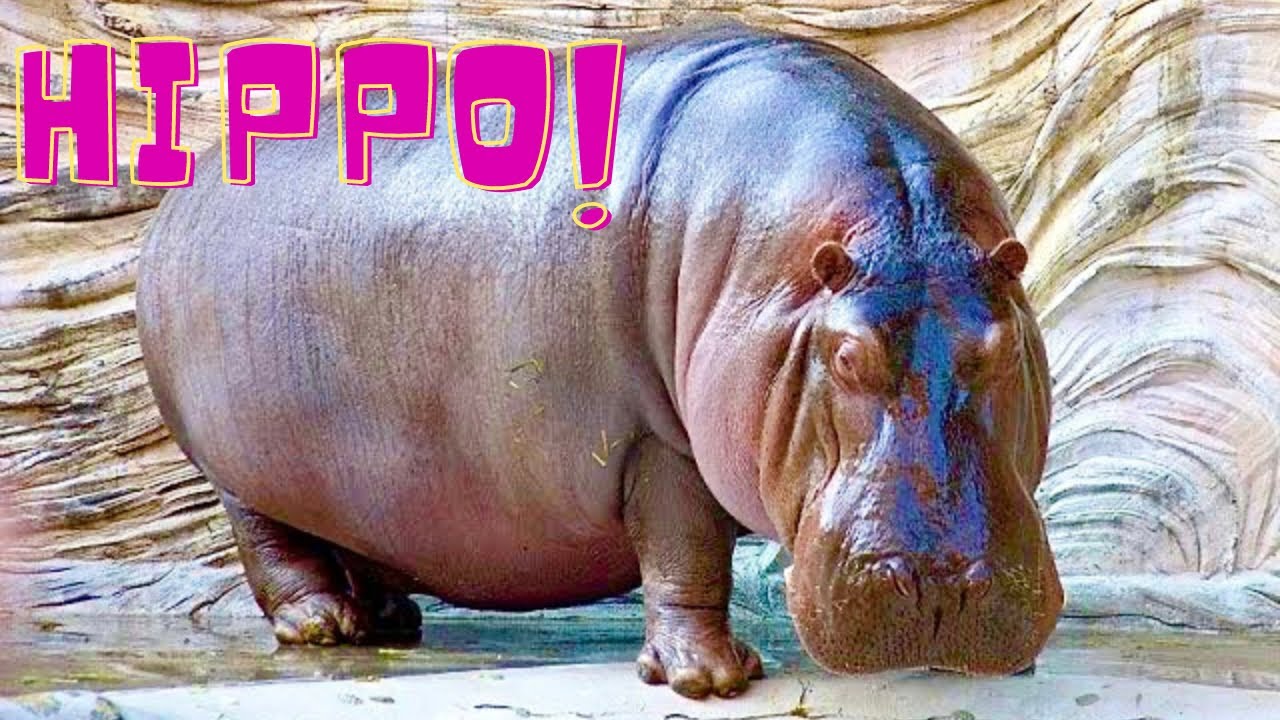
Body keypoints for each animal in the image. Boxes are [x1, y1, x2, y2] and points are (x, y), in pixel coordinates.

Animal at [137, 21, 1062, 699]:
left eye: (1003, 345)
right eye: (843, 355)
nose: (941, 584)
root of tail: (184, 193)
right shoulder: (661, 440)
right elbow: (686, 551)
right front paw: (710, 681)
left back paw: (392, 617)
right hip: (233, 466)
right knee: (273, 548)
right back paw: (324, 627)